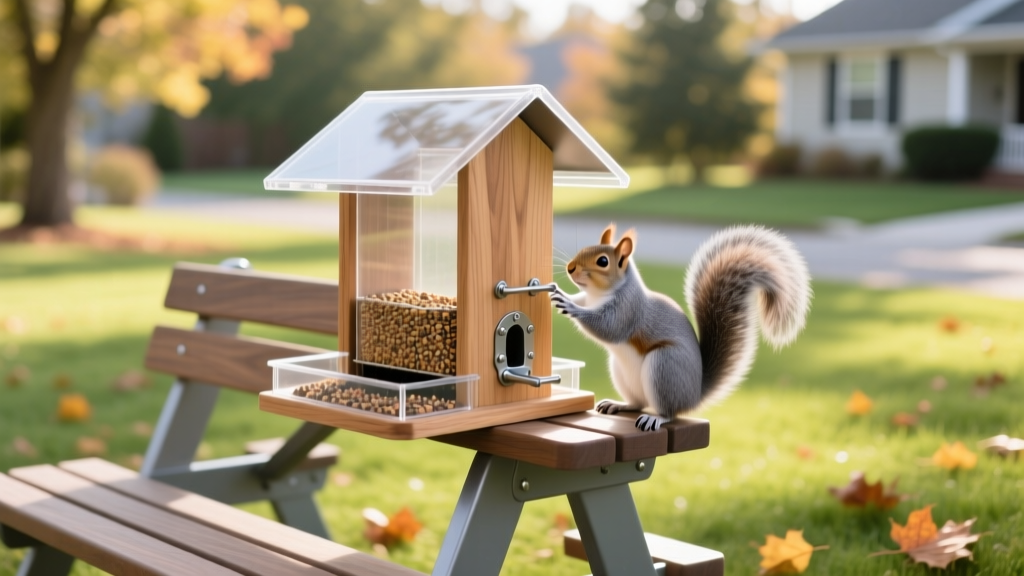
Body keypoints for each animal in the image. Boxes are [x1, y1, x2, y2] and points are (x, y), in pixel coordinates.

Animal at [550, 223, 811, 432]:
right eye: (585, 248)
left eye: (603, 261)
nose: (570, 267)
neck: (600, 295)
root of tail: (695, 395)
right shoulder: (590, 298)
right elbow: (582, 300)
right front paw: (559, 293)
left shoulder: (628, 310)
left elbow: (608, 328)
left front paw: (570, 305)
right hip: (623, 373)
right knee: (638, 403)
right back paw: (619, 404)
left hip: (664, 366)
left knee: (669, 412)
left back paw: (656, 419)